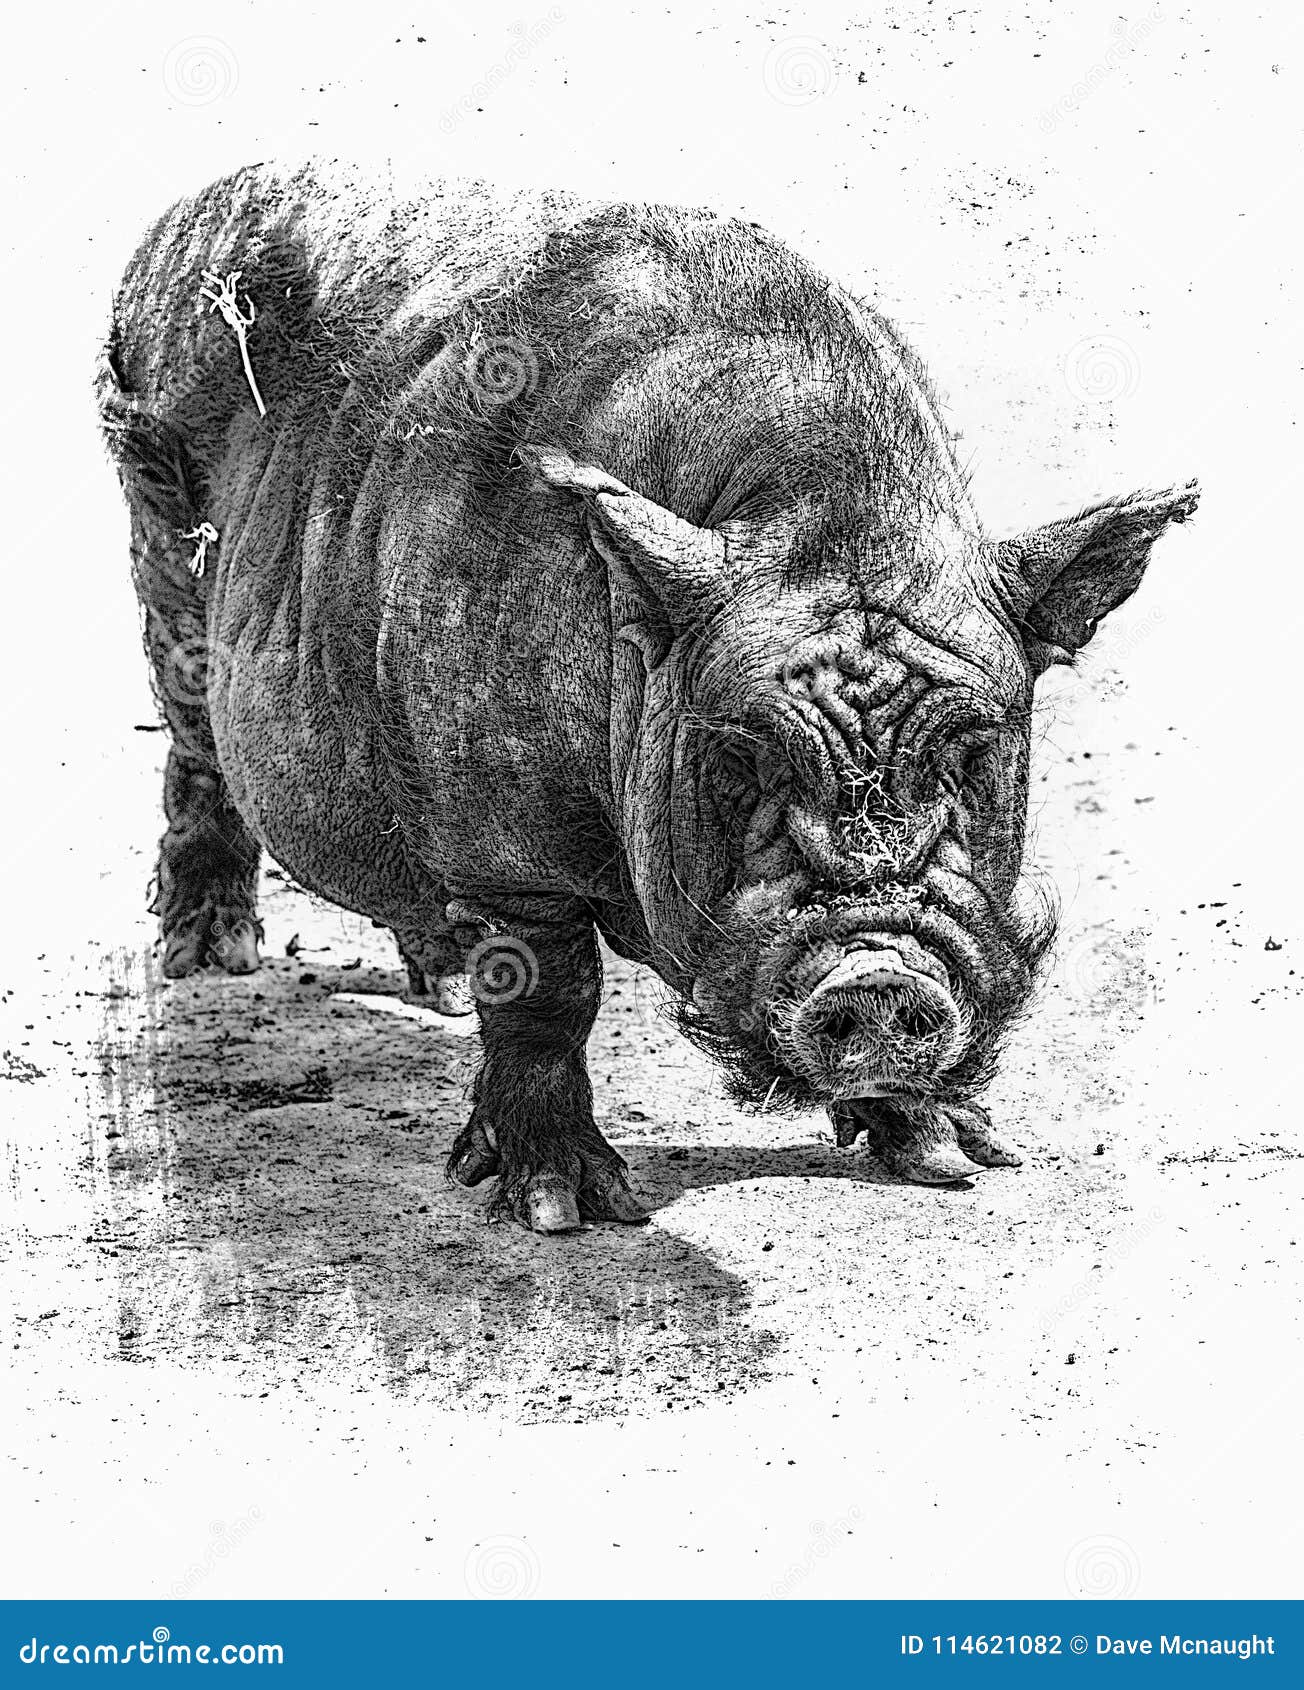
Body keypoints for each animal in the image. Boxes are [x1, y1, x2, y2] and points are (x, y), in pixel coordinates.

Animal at [98, 161, 1198, 1232]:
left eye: (971, 754)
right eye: (741, 761)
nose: (879, 970)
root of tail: (175, 218)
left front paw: (954, 1164)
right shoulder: (502, 843)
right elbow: (551, 992)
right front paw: (569, 1211)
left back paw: (436, 988)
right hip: (157, 534)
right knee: (196, 742)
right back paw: (208, 961)